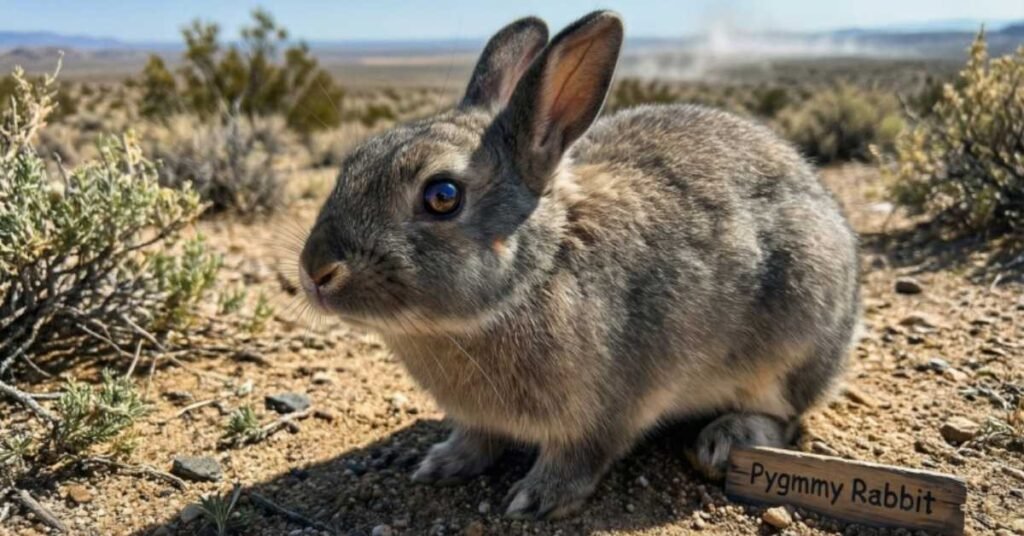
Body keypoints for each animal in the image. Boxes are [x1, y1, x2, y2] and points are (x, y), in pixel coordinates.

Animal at [299, 10, 859, 520]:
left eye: (443, 196)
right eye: (352, 163)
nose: (316, 271)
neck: (535, 276)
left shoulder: (607, 412)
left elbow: (580, 455)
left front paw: (536, 498)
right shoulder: (480, 418)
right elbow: (476, 438)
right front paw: (442, 464)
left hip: (796, 335)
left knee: (785, 416)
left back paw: (723, 441)